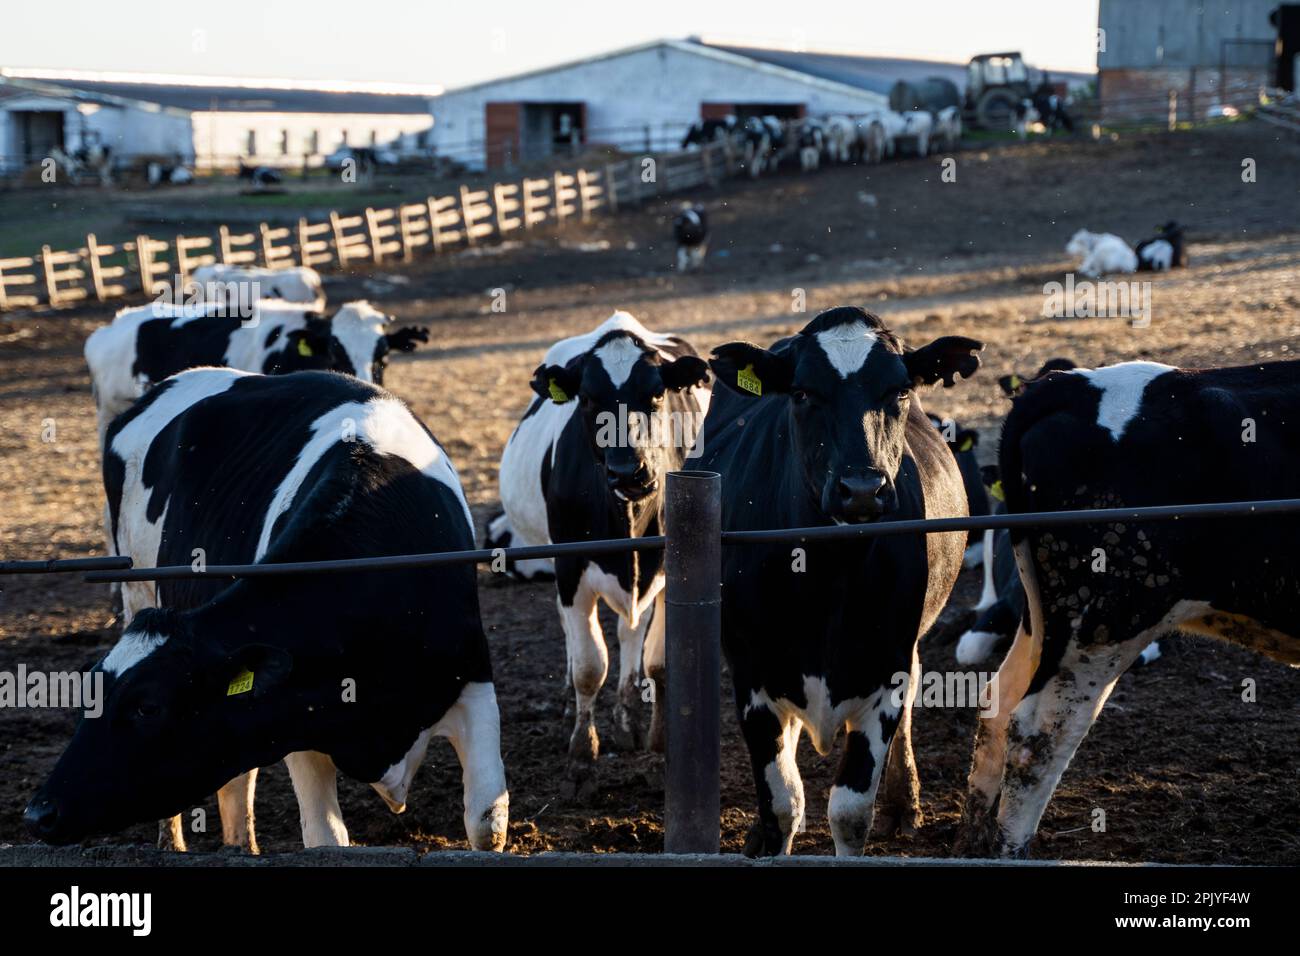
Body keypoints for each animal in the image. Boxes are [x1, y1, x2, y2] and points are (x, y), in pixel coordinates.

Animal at [24, 368, 508, 852]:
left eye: (148, 707)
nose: (38, 812)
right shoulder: (294, 723)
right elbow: (326, 837)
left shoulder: (473, 680)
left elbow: (487, 822)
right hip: (137, 586)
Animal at [495, 311, 711, 765]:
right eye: (589, 399)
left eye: (658, 393)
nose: (628, 471)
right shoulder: (569, 566)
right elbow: (590, 665)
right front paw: (582, 743)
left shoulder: (670, 568)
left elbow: (659, 662)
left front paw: (655, 735)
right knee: (573, 634)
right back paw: (568, 707)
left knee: (632, 633)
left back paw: (628, 718)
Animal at [697, 307, 983, 856]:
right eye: (802, 393)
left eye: (899, 391)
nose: (862, 489)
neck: (829, 575)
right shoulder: (752, 675)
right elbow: (782, 804)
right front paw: (767, 834)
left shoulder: (886, 670)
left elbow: (850, 812)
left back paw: (903, 803)